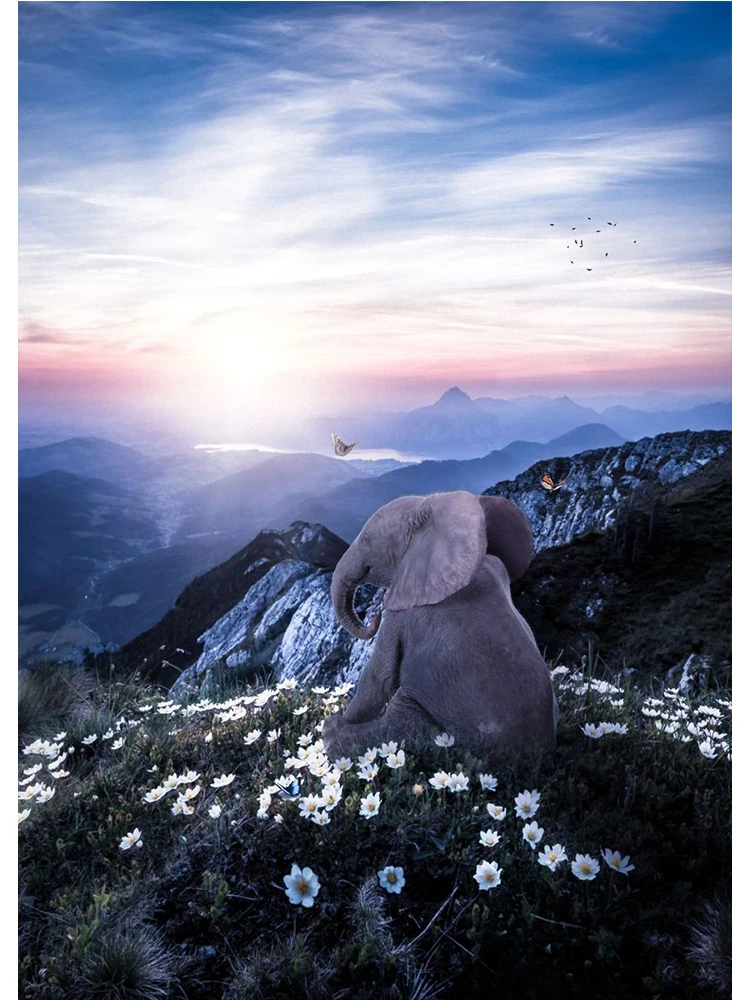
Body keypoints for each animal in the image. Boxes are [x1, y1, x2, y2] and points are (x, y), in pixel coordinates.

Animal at [321, 490, 558, 759]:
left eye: (368, 540)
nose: (374, 615)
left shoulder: (403, 612)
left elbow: (380, 677)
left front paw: (339, 720)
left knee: (403, 722)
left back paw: (331, 733)